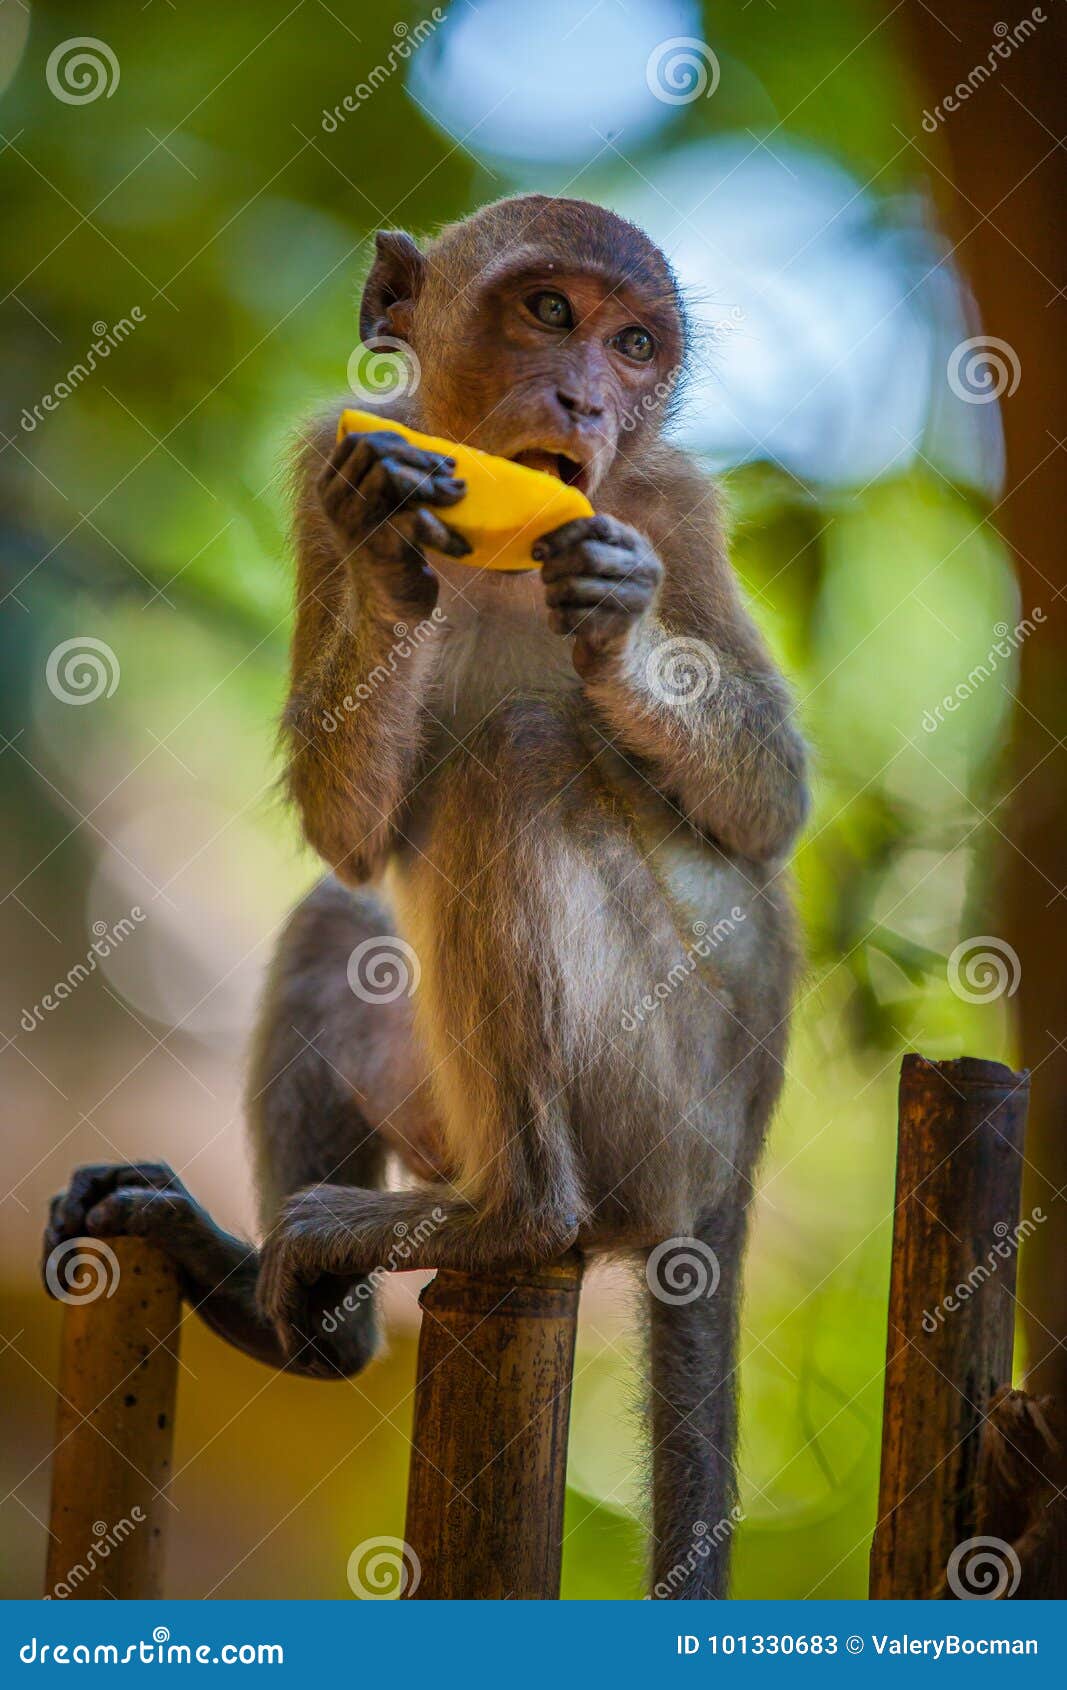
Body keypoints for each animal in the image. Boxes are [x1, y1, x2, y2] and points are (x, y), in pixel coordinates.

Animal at [43, 194, 808, 1600]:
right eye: (550, 313)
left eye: (634, 345)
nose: (586, 398)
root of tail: (728, 1173)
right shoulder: (317, 454)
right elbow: (350, 844)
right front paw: (385, 555)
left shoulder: (671, 503)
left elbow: (766, 806)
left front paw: (617, 625)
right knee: (334, 921)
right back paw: (295, 1325)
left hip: (654, 1110)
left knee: (517, 758)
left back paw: (512, 1220)